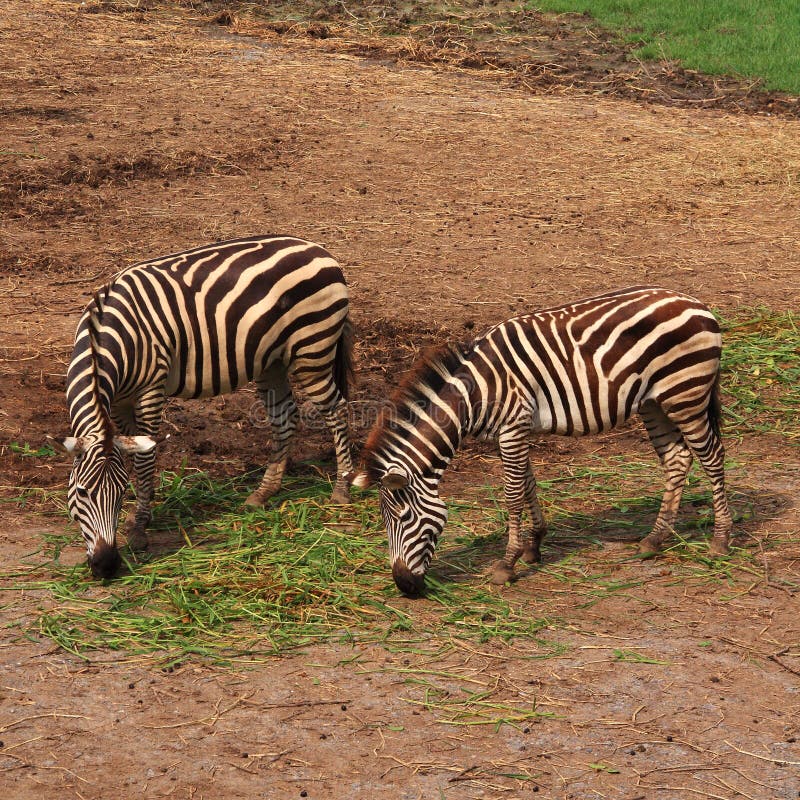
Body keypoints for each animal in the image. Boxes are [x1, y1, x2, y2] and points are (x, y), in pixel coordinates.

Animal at [60, 235, 354, 579]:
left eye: (118, 493)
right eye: (81, 492)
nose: (107, 566)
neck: (107, 340)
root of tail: (322, 250)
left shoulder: (150, 390)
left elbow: (145, 460)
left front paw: (140, 528)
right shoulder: (120, 402)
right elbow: (134, 454)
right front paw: (142, 510)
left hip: (313, 351)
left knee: (337, 409)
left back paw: (342, 488)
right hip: (273, 360)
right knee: (285, 417)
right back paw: (264, 492)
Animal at [350, 286, 733, 596]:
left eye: (403, 518)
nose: (405, 586)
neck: (476, 394)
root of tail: (698, 304)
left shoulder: (513, 427)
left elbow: (513, 494)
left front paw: (506, 565)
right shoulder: (514, 430)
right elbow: (529, 484)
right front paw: (534, 546)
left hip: (685, 395)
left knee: (712, 456)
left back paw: (720, 540)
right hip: (655, 402)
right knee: (677, 459)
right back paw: (655, 539)